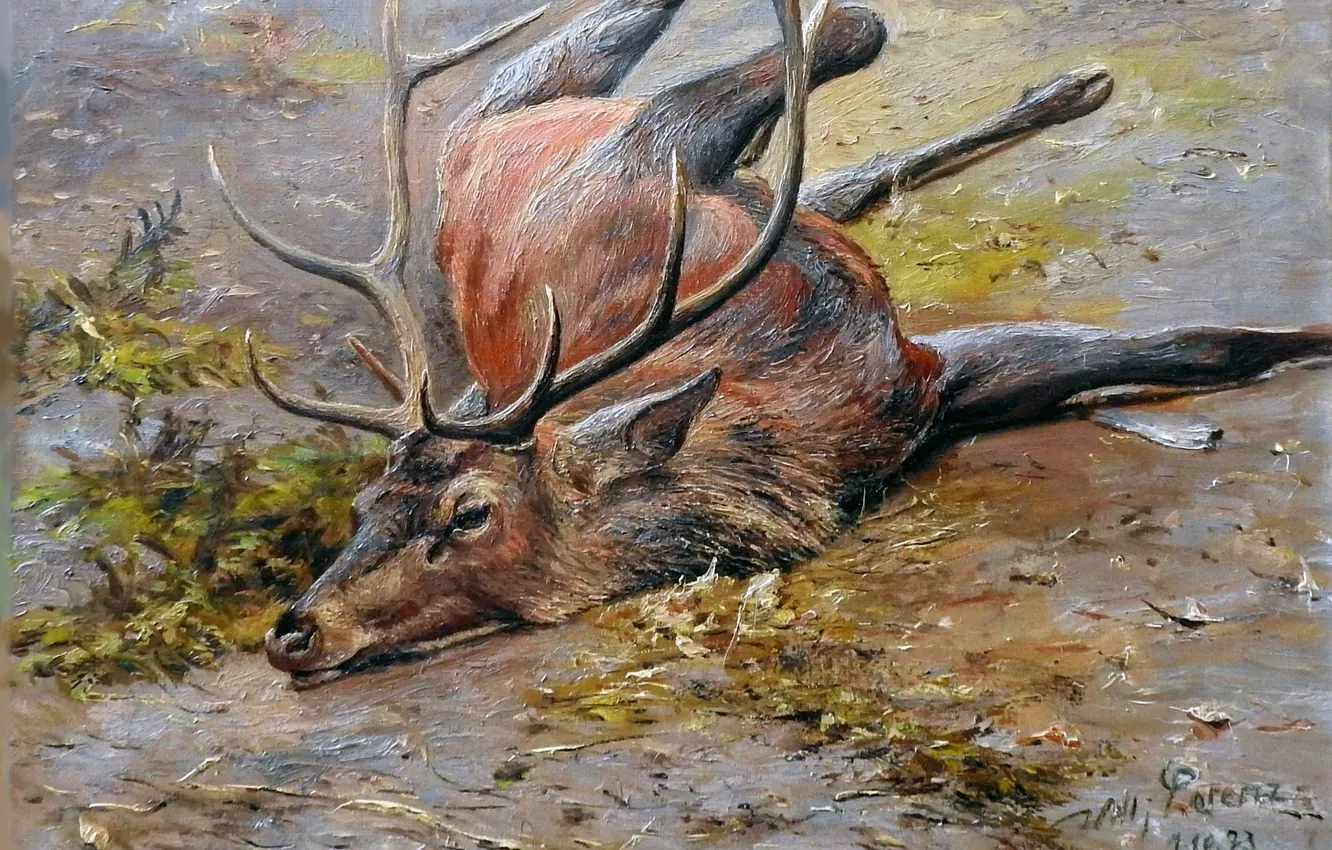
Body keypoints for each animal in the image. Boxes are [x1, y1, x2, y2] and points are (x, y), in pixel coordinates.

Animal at [209, 0, 1332, 688]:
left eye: (469, 511)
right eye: (362, 508)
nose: (294, 630)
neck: (790, 399)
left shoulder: (914, 366)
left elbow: (1207, 341)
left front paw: (1308, 337)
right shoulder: (927, 383)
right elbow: (1193, 348)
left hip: (558, 111)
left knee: (804, 65)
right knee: (841, 161)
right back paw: (1058, 92)